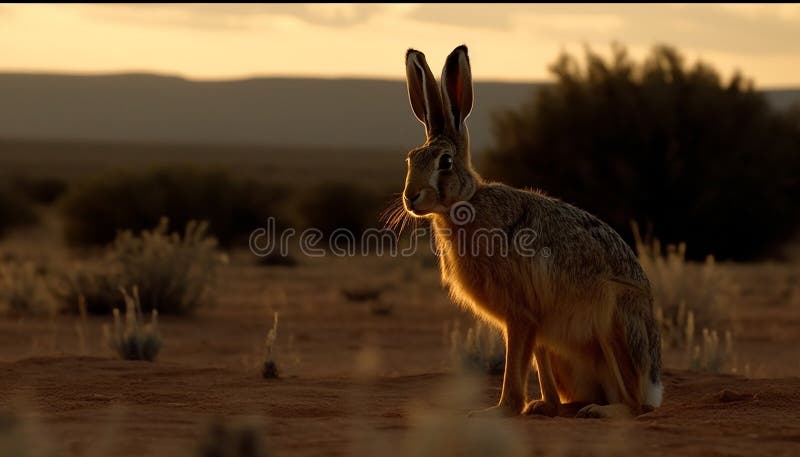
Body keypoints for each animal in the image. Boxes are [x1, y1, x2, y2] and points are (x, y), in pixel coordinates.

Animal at [400, 45, 662, 419]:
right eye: (411, 159)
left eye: (445, 162)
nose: (411, 197)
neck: (468, 202)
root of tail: (654, 384)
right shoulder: (532, 322)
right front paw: (522, 407)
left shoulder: (520, 316)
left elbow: (513, 370)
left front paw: (496, 411)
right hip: (562, 347)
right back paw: (551, 406)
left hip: (615, 321)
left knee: (635, 404)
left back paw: (599, 411)